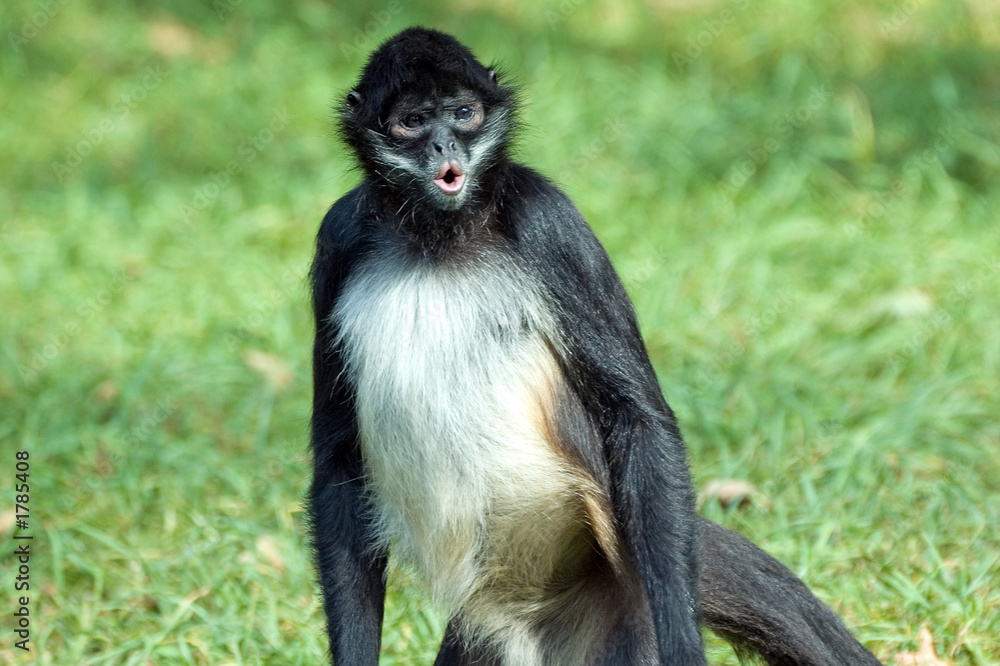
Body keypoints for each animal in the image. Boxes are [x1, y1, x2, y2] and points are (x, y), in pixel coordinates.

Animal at [308, 27, 883, 665]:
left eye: (462, 114)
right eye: (412, 121)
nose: (442, 146)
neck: (438, 241)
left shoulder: (547, 219)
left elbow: (639, 418)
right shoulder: (339, 236)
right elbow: (337, 456)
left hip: (622, 606)